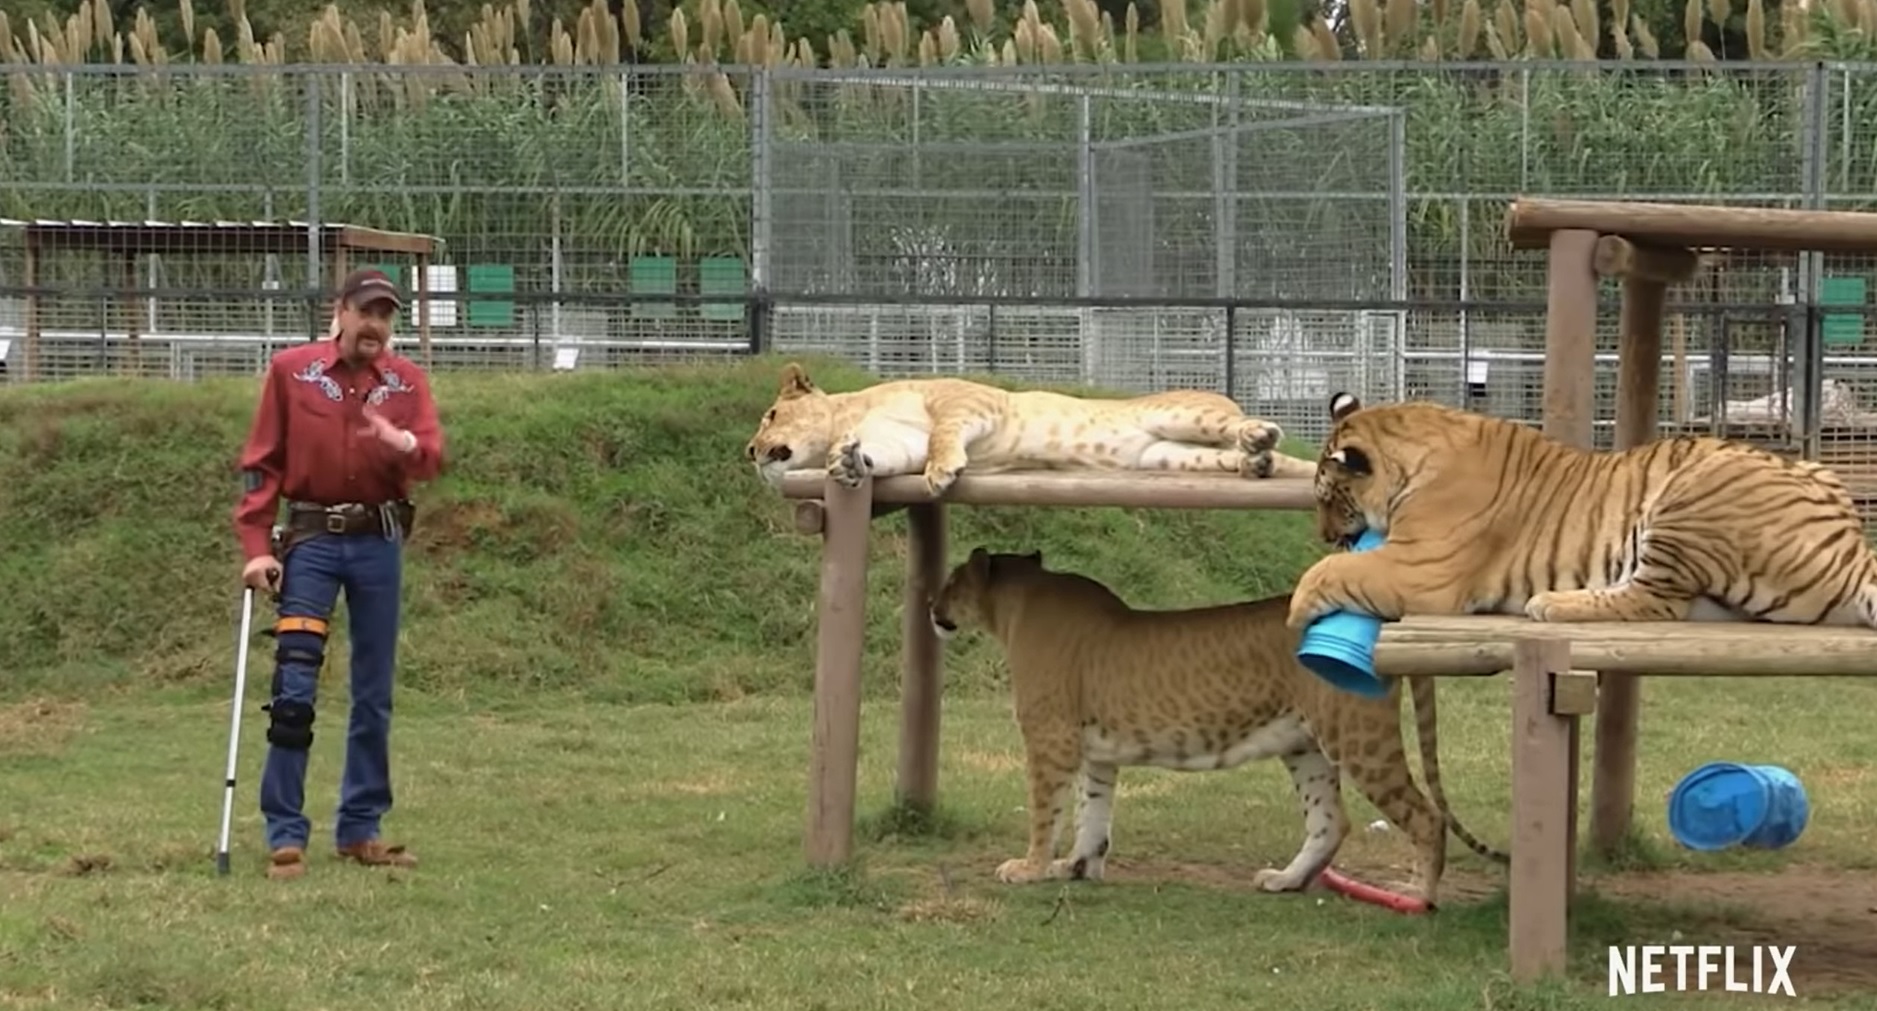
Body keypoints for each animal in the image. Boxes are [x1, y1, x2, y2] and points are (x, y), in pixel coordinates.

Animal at [929, 546, 1508, 907]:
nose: (932, 606)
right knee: (1330, 821)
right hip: (1305, 746)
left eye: (950, 582)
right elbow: (1092, 813)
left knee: (1426, 817)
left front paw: (1027, 868)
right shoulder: (1095, 751)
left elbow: (1045, 810)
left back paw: (1417, 896)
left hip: (1358, 737)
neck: (1013, 608)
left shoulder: (1051, 738)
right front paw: (1077, 866)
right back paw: (1286, 881)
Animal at [1285, 391, 1877, 633]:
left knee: (1653, 602)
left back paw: (1551, 603)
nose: (1325, 534)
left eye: (1328, 499)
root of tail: (1852, 548)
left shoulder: (1421, 571)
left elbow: (1327, 572)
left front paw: (1296, 615)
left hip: (1691, 494)